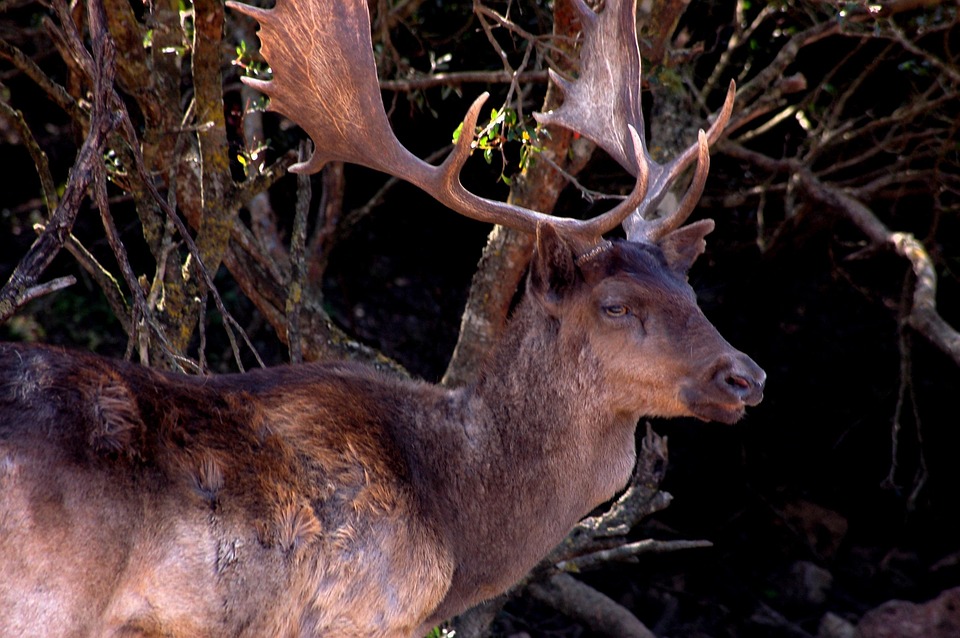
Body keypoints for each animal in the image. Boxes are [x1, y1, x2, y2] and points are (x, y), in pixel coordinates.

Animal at [0, 0, 764, 635]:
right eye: (615, 305)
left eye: (692, 294)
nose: (747, 376)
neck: (458, 528)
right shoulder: (357, 616)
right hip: (48, 603)